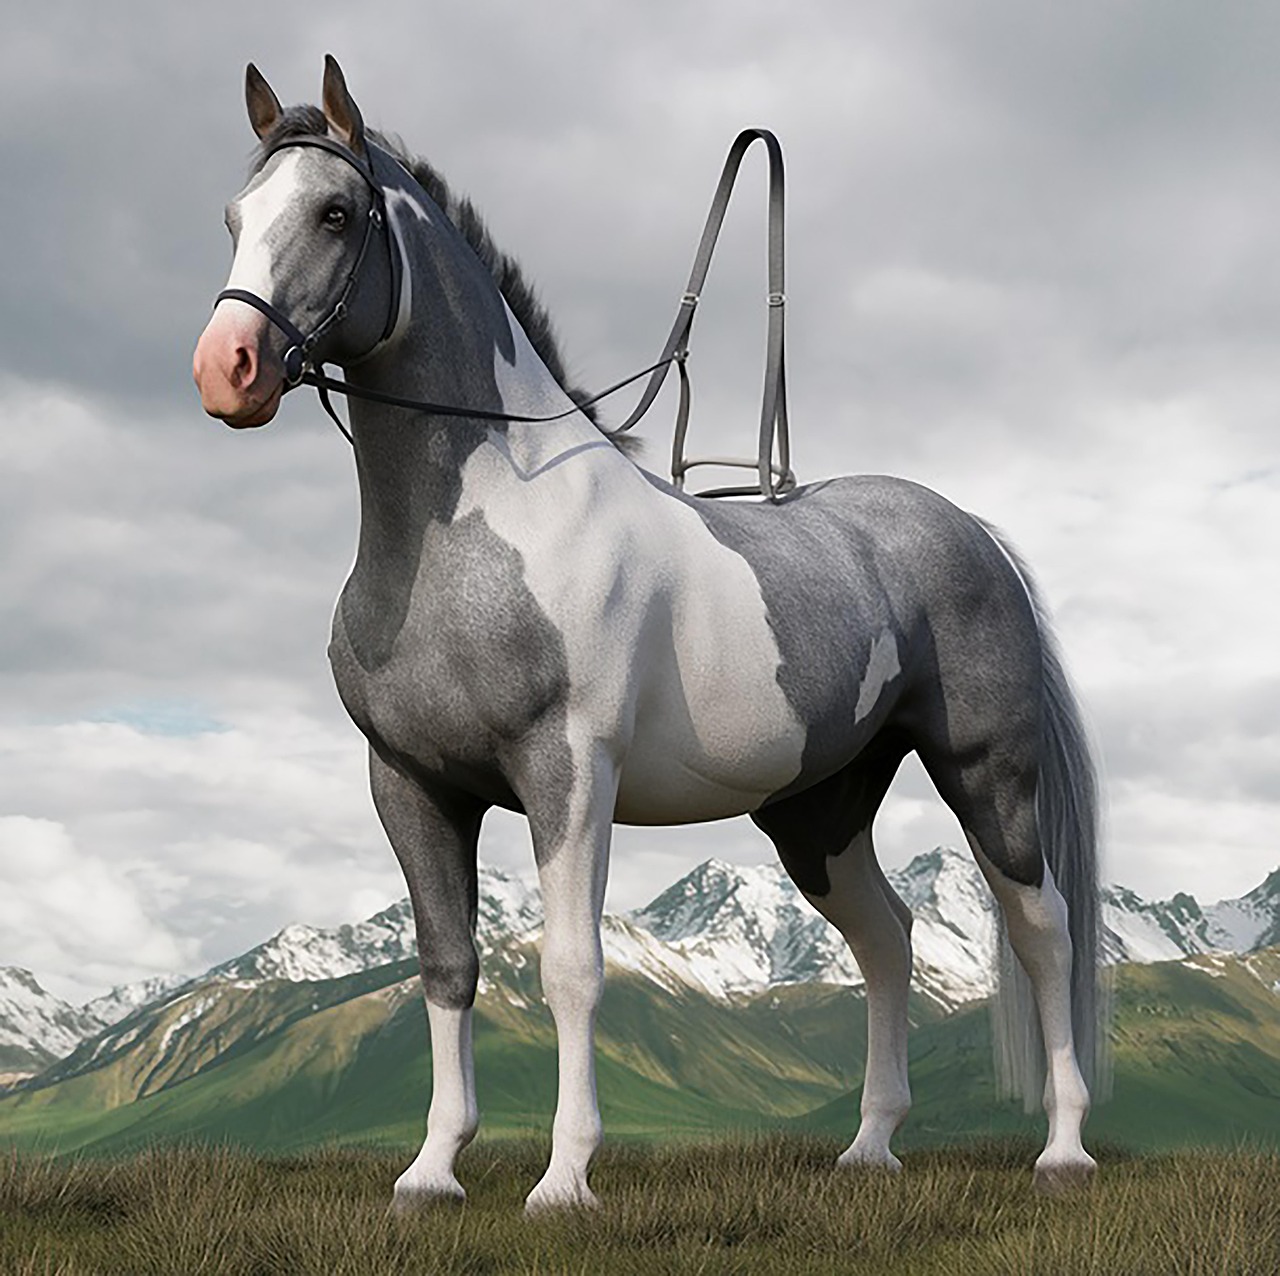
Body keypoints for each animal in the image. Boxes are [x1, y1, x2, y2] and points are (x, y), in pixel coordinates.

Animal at [193, 56, 1106, 1213]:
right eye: (234, 215)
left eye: (335, 212)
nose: (227, 367)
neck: (485, 527)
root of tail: (967, 529)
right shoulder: (408, 783)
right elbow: (445, 966)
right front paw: (432, 1171)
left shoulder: (569, 768)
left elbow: (570, 968)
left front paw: (564, 1180)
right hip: (816, 810)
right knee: (887, 941)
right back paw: (868, 1147)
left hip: (989, 773)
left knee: (1043, 934)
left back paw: (1063, 1148)